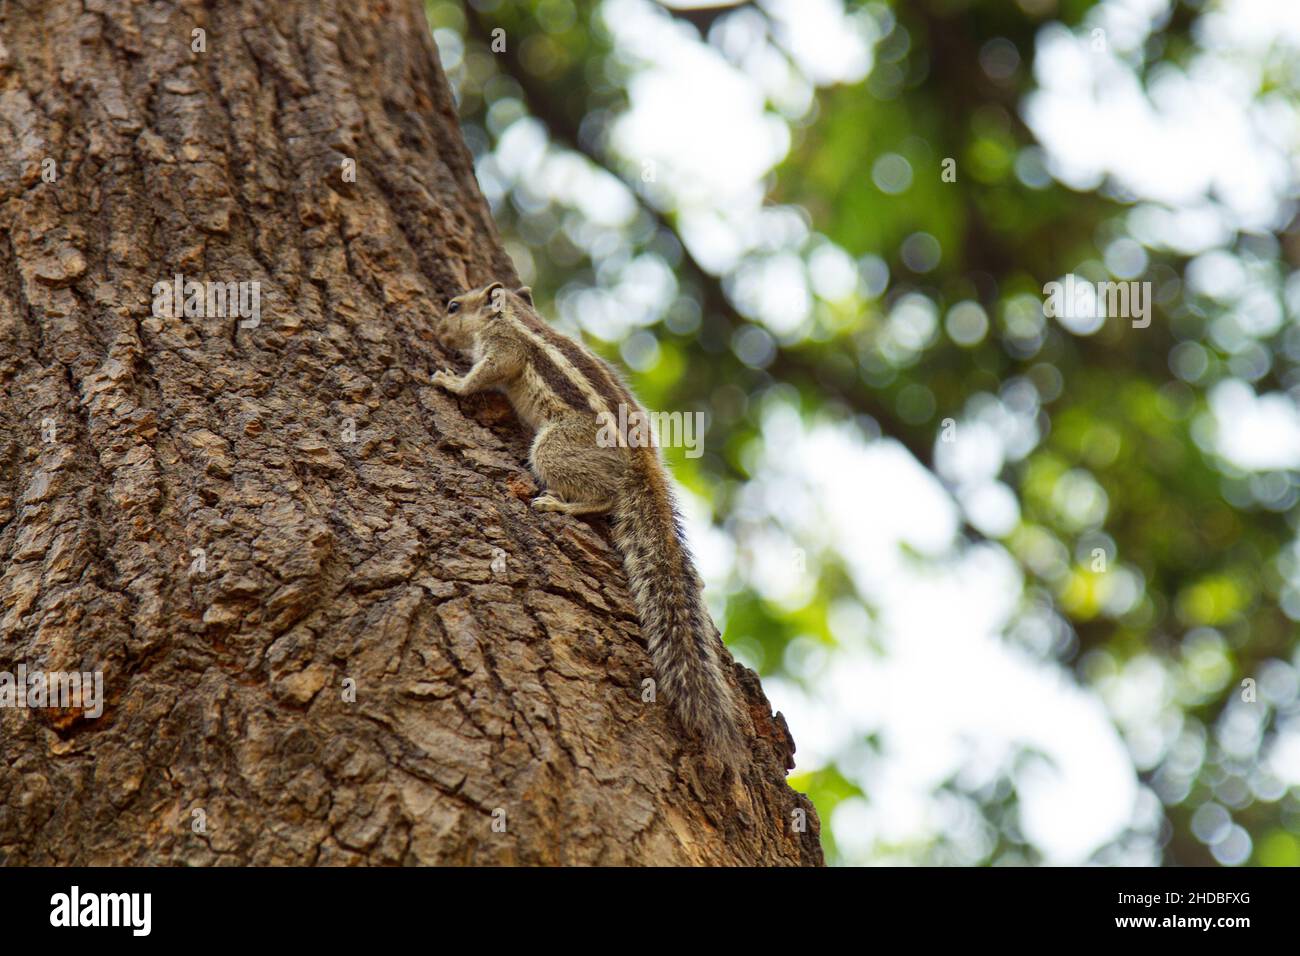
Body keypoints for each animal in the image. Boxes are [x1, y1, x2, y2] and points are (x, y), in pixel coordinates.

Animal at [433, 281, 745, 763]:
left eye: (452, 306)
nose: (437, 327)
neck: (514, 316)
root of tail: (642, 463)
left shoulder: (504, 349)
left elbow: (486, 374)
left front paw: (451, 381)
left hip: (555, 447)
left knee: (602, 497)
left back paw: (562, 507)